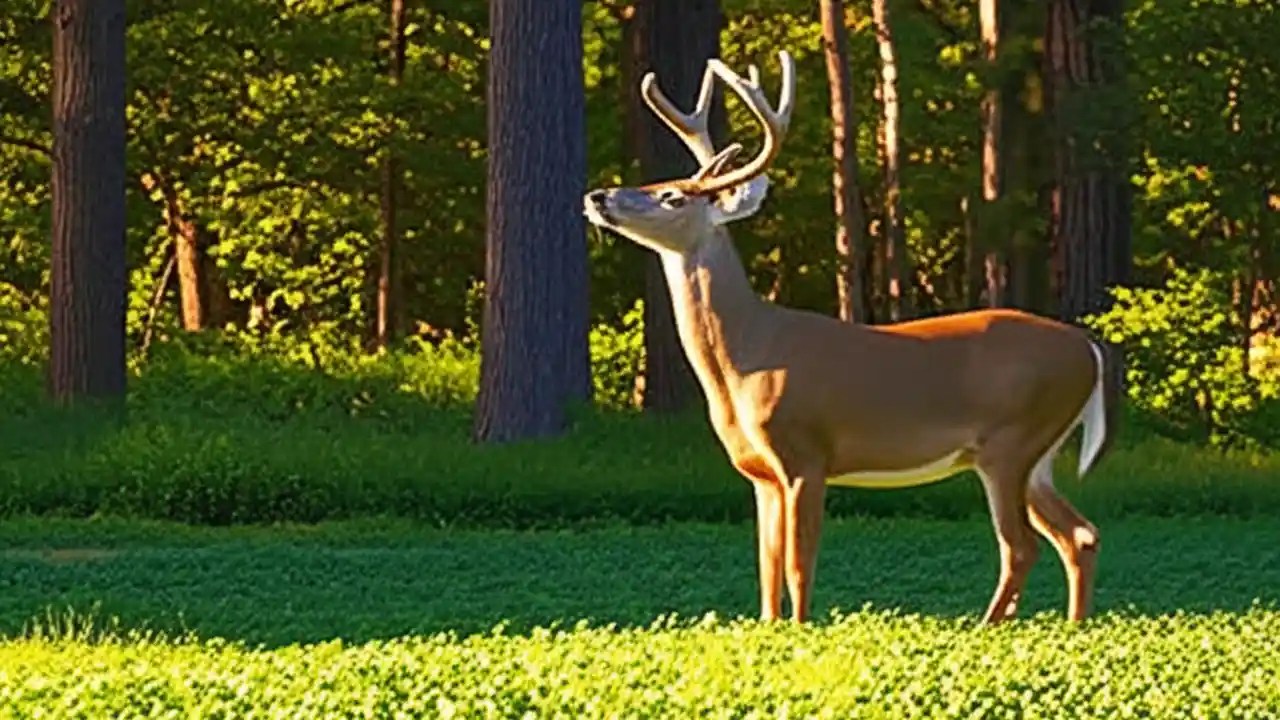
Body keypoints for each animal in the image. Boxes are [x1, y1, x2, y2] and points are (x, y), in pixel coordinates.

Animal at [583, 50, 1115, 625]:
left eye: (672, 196)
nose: (597, 195)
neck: (747, 354)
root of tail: (1088, 350)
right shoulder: (759, 473)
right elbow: (766, 568)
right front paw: (771, 627)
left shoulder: (805, 453)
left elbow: (799, 564)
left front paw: (801, 628)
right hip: (1036, 455)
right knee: (1079, 534)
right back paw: (1073, 624)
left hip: (1011, 441)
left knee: (1022, 545)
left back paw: (988, 625)